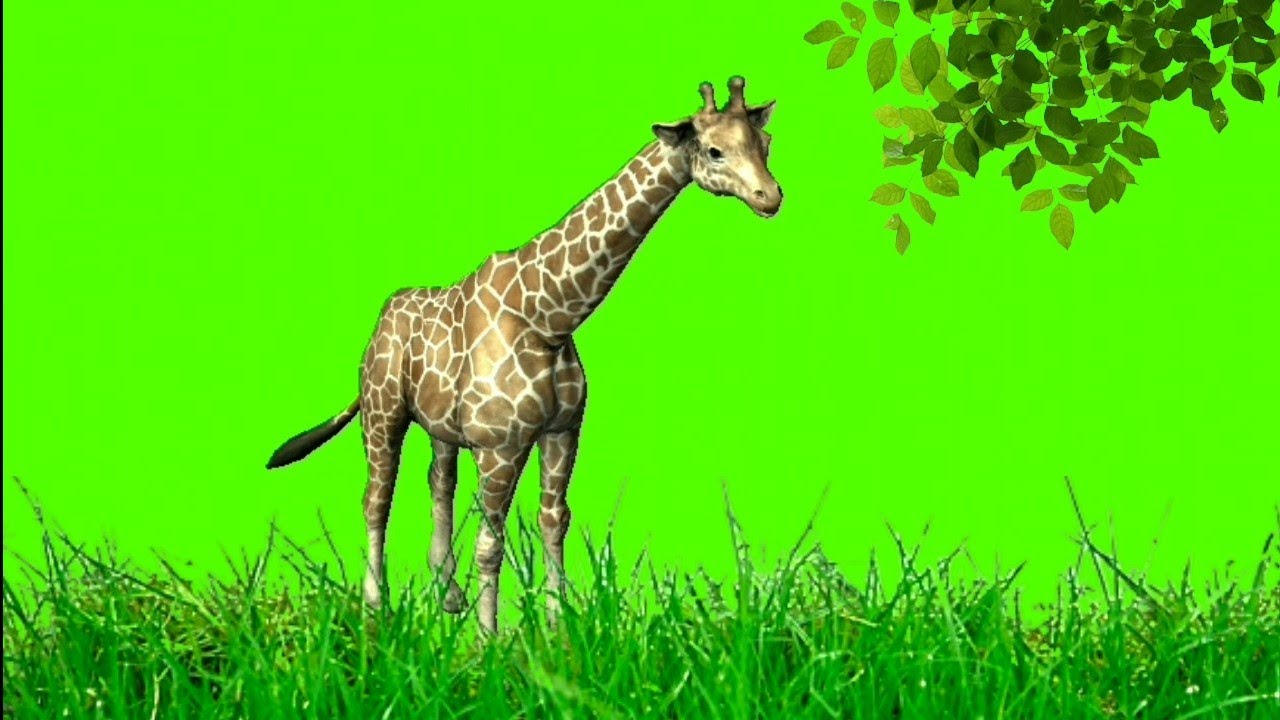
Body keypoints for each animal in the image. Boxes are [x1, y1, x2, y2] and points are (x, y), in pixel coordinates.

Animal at [265, 76, 783, 635]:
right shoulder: (500, 445)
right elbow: (491, 543)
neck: (549, 318)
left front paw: (557, 628)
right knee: (375, 499)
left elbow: (554, 521)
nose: (770, 196)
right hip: (382, 411)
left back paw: (447, 595)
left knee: (438, 483)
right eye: (713, 150)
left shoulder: (562, 430)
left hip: (442, 427)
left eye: (766, 143)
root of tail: (380, 322)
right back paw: (375, 609)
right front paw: (489, 641)